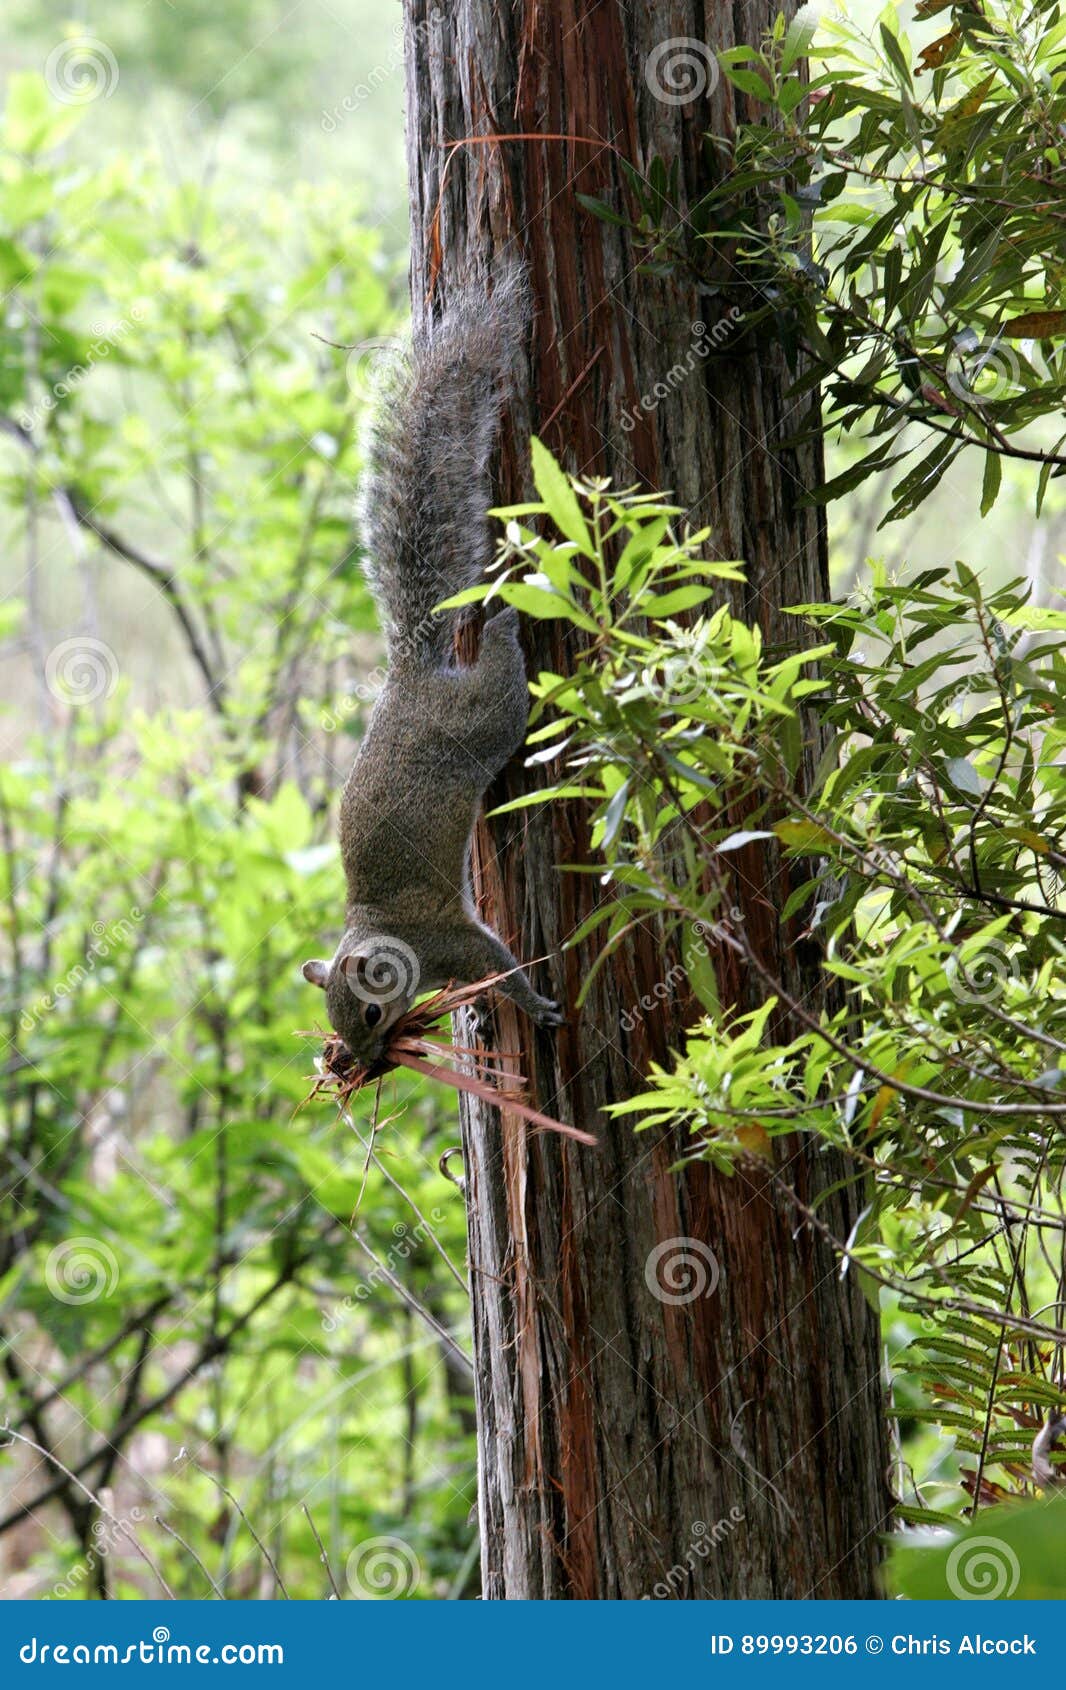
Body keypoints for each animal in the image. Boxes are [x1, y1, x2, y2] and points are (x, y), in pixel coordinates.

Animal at [302, 269, 563, 1065]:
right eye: (335, 1020)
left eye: (372, 1011)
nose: (362, 1065)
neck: (388, 934)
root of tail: (412, 675)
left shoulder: (453, 941)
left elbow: (498, 963)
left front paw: (534, 1005)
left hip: (486, 715)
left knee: (503, 682)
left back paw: (505, 619)